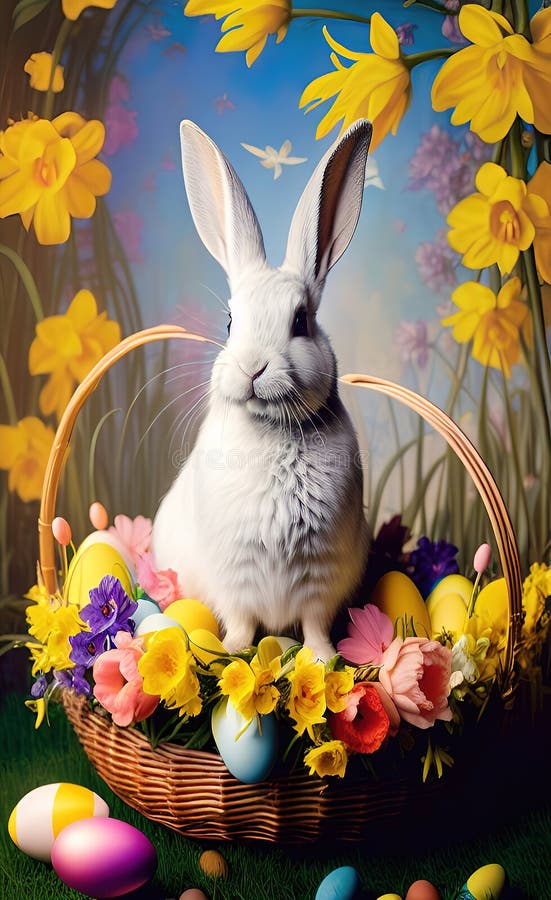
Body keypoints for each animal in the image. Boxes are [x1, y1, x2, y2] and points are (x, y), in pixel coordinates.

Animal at [152, 118, 372, 660]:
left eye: (301, 321)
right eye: (231, 322)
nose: (253, 367)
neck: (272, 431)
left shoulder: (322, 578)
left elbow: (315, 625)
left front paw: (325, 659)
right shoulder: (234, 576)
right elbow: (241, 620)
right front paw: (231, 651)